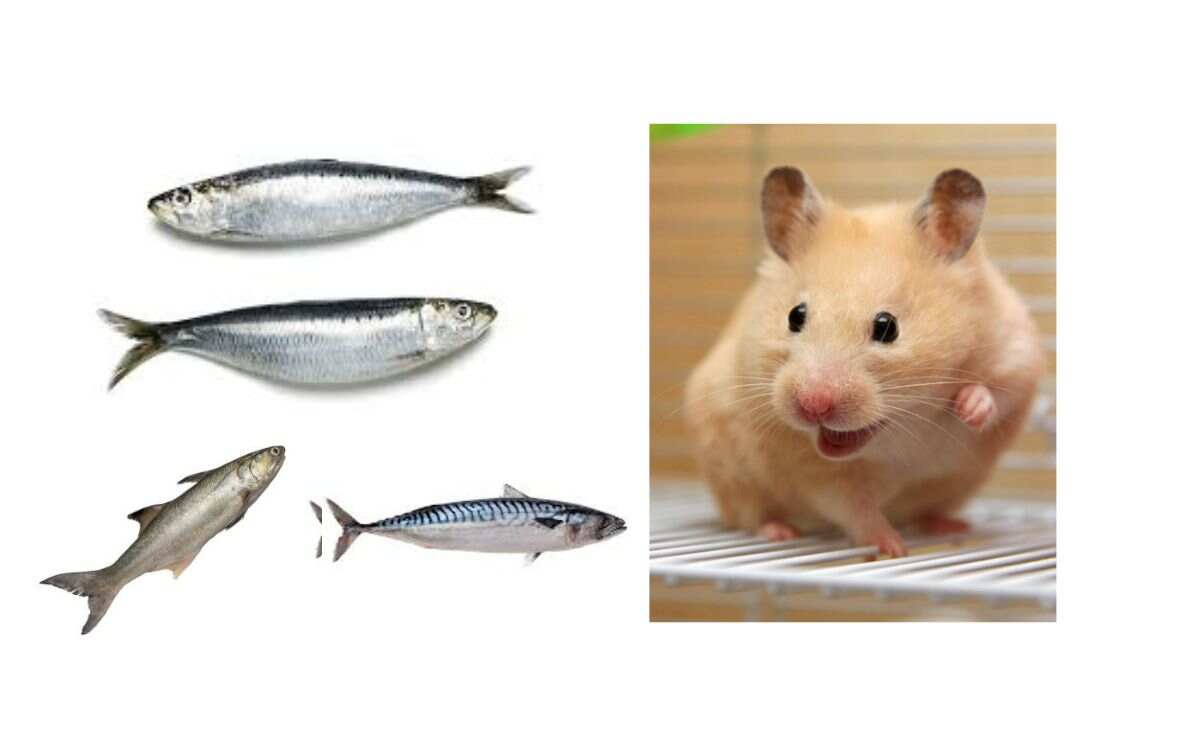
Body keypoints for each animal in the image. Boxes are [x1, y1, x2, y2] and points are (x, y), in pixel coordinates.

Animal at [682, 167, 1044, 556]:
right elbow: (856, 510)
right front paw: (894, 548)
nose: (813, 405)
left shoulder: (1017, 354)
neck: (901, 428)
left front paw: (968, 408)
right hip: (732, 477)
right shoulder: (821, 474)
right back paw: (780, 531)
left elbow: (1000, 392)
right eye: (795, 316)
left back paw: (951, 525)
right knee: (748, 516)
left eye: (887, 326)